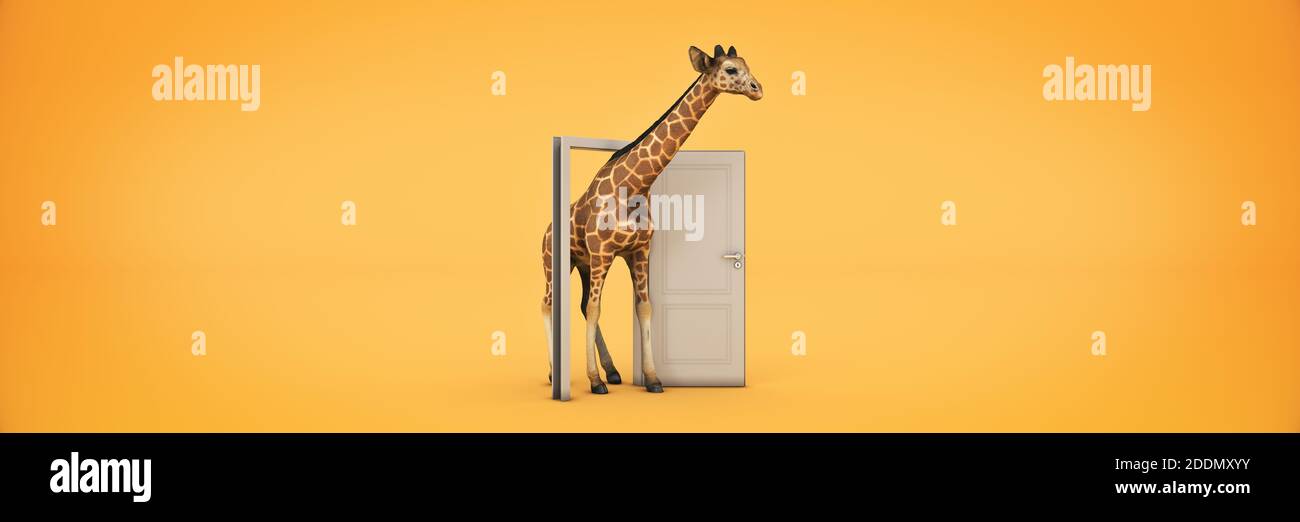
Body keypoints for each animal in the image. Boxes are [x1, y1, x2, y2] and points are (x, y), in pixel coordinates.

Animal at [541, 44, 763, 394]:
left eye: (746, 65)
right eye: (730, 69)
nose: (758, 89)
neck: (635, 185)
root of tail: (546, 231)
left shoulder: (639, 251)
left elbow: (643, 308)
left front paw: (652, 379)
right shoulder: (604, 252)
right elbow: (595, 309)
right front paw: (594, 382)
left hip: (584, 263)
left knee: (578, 304)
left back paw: (612, 371)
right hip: (555, 263)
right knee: (549, 304)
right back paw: (554, 374)